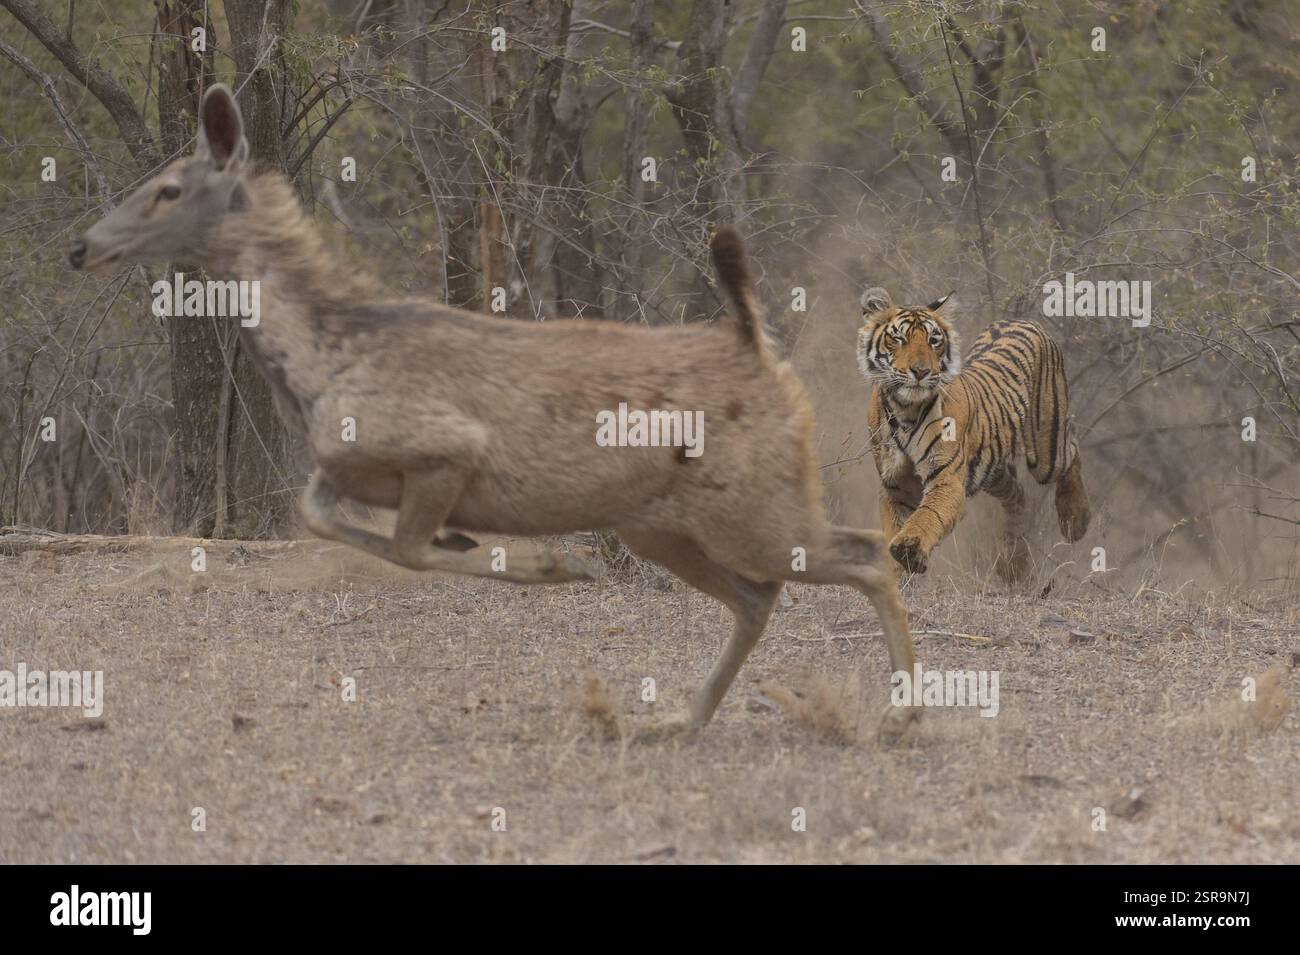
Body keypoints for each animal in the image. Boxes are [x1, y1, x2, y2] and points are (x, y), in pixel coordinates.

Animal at [70, 84, 919, 740]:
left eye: (168, 188)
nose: (83, 246)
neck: (323, 356)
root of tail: (757, 348)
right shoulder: (343, 468)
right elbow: (327, 517)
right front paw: (513, 551)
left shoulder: (444, 449)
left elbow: (408, 548)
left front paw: (550, 565)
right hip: (660, 522)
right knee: (758, 595)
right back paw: (680, 719)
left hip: (756, 503)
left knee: (867, 553)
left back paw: (901, 714)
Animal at [856, 286, 1090, 581]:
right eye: (898, 338)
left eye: (934, 340)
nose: (921, 371)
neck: (904, 409)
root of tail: (1025, 321)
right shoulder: (895, 486)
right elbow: (894, 529)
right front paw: (897, 578)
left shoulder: (947, 479)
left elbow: (927, 516)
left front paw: (910, 549)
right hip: (992, 468)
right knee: (1017, 493)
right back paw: (1013, 564)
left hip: (1046, 449)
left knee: (1072, 447)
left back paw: (1076, 521)